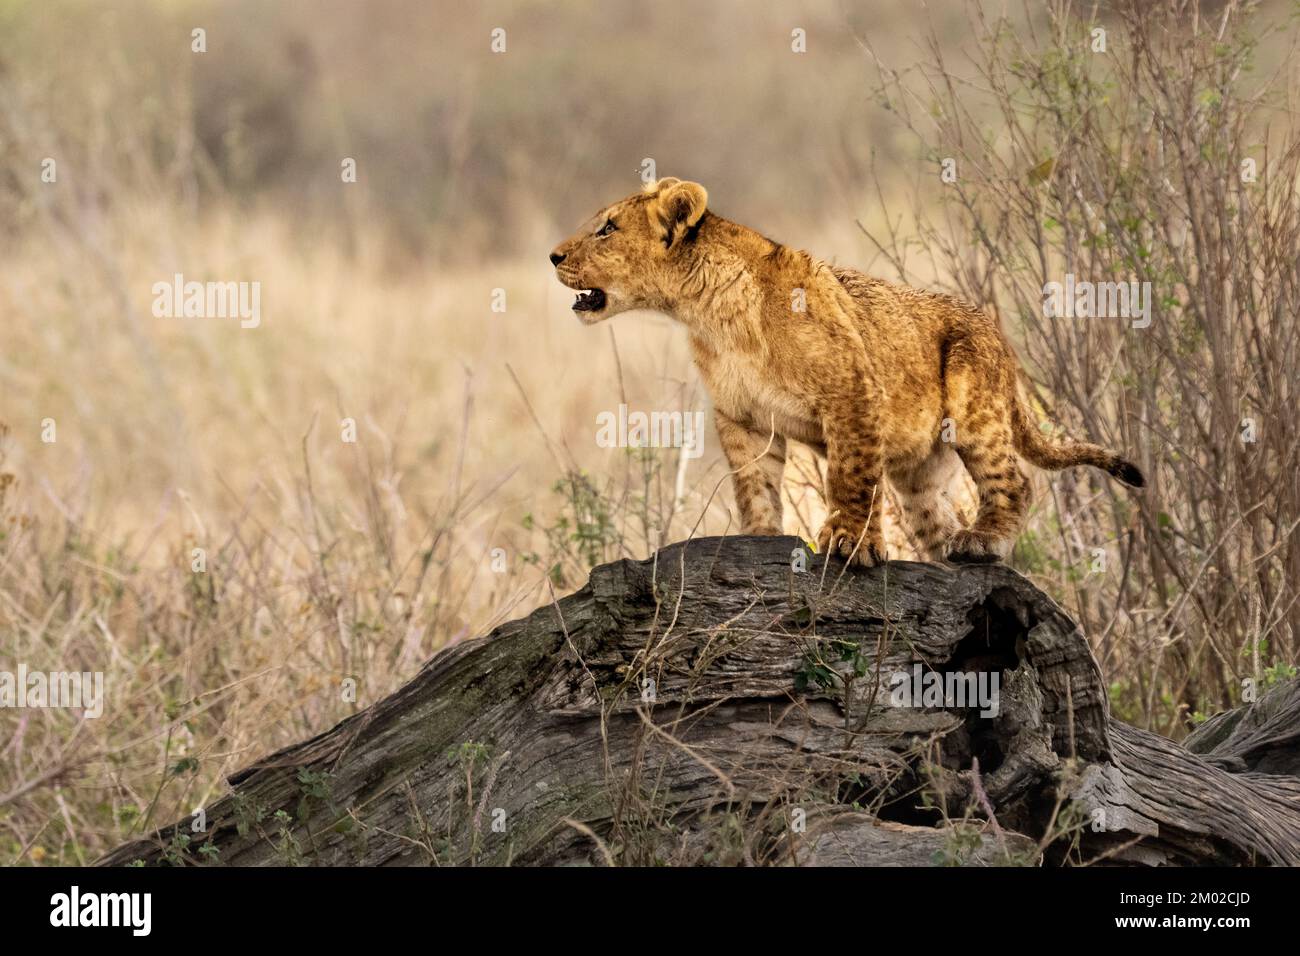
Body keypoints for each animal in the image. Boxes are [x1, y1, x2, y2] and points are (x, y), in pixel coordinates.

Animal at [550, 177, 1144, 566]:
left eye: (607, 228)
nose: (553, 256)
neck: (709, 314)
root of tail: (999, 334)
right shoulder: (742, 418)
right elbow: (755, 485)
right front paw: (761, 538)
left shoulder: (852, 394)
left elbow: (851, 478)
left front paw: (848, 542)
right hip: (921, 470)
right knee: (933, 515)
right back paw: (947, 558)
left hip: (975, 408)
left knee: (1016, 482)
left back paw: (983, 540)